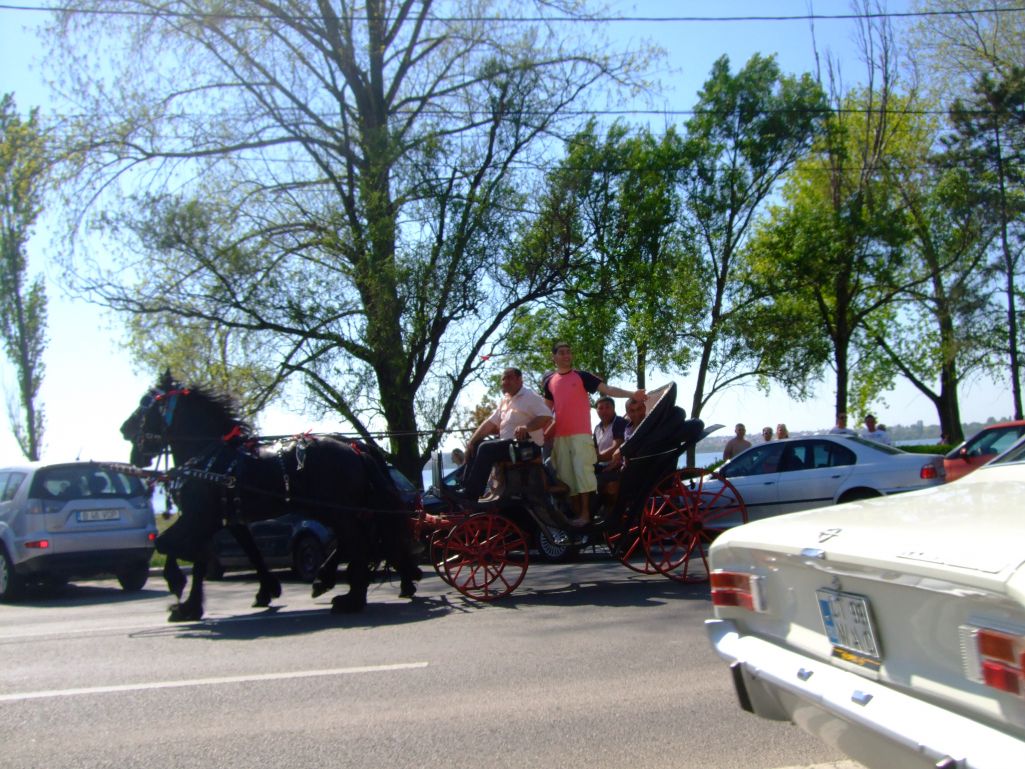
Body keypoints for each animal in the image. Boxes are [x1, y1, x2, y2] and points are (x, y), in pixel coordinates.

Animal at [121, 371, 422, 623]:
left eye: (146, 404)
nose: (124, 429)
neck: (211, 460)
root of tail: (356, 448)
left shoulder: (200, 517)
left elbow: (171, 545)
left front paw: (178, 588)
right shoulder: (225, 518)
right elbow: (245, 552)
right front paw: (262, 591)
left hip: (337, 510)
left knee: (360, 543)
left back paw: (352, 598)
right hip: (335, 509)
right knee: (360, 542)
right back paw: (340, 583)